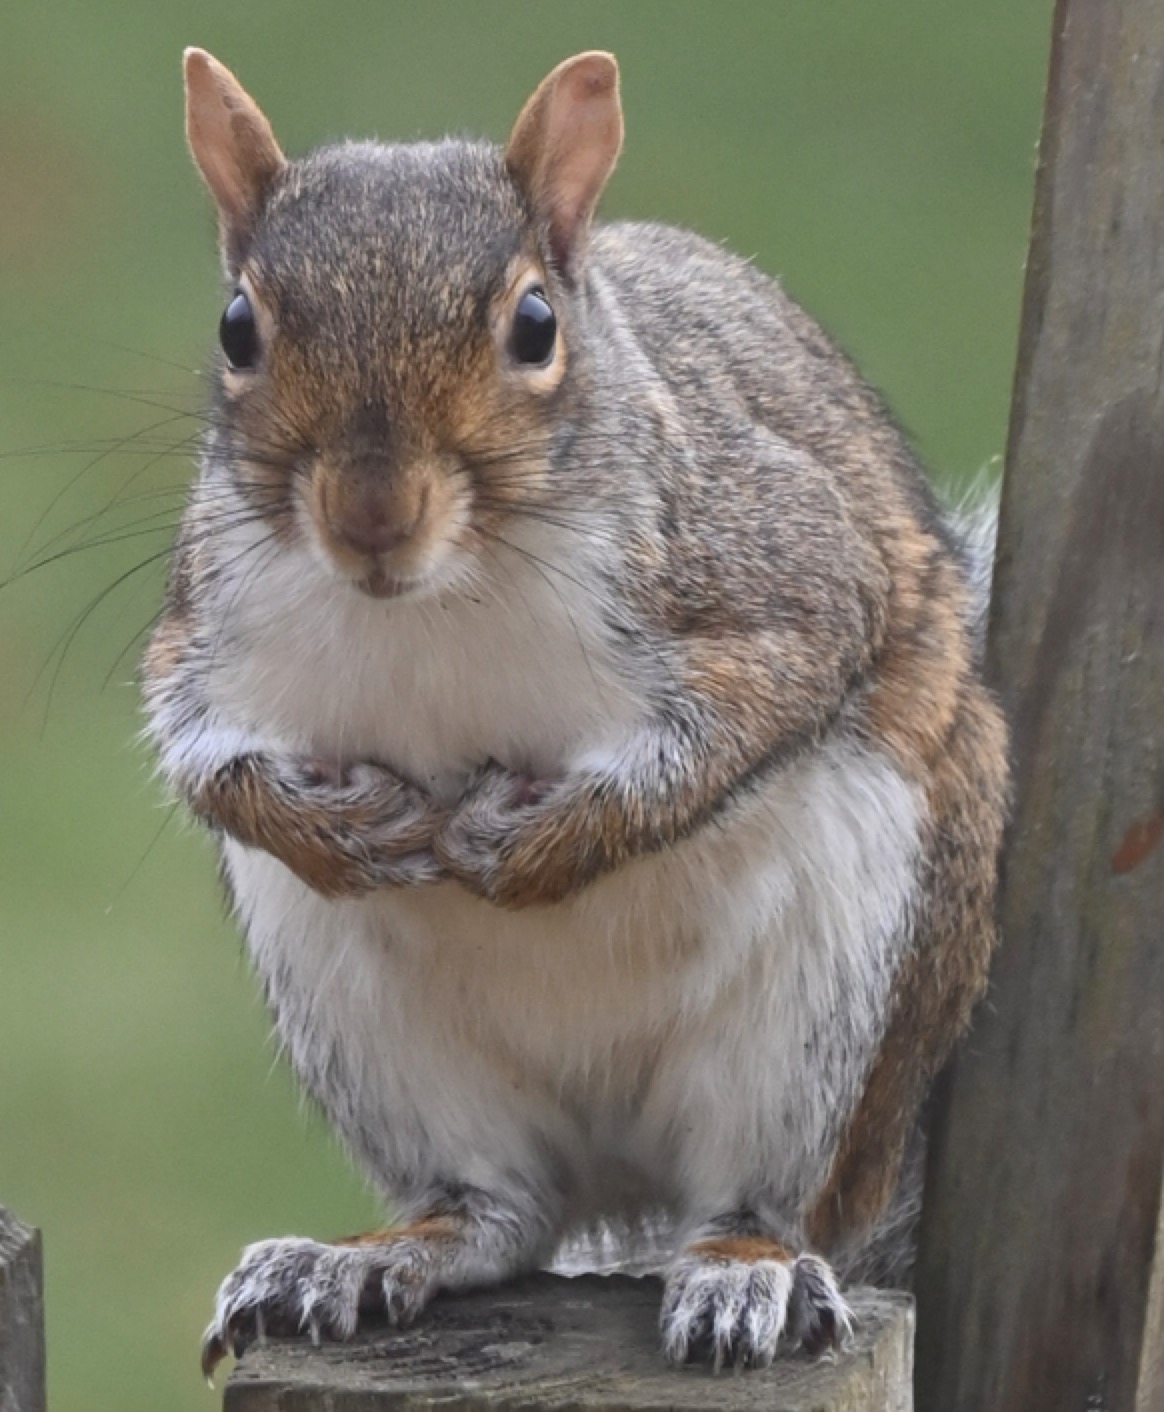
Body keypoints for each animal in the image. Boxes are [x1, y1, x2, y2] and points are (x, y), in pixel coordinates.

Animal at [143, 47, 1008, 1374]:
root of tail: (624, 1181)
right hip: (383, 1042)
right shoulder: (204, 629)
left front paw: (542, 846)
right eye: (239, 328)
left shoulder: (779, 572)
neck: (436, 599)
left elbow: (748, 715)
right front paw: (329, 830)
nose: (372, 515)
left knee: (766, 1195)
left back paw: (744, 1268)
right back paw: (367, 1255)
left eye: (535, 327)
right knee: (497, 1209)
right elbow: (196, 754)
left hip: (836, 1009)